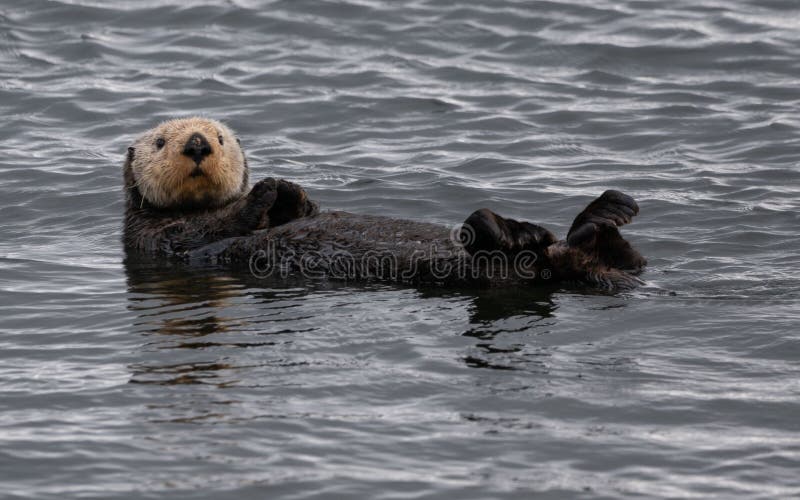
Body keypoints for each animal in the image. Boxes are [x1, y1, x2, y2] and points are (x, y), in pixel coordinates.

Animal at [124, 118, 646, 290]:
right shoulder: (160, 238)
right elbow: (211, 230)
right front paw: (266, 190)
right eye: (161, 142)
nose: (196, 144)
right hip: (490, 270)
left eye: (219, 137)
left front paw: (290, 190)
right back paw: (509, 229)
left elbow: (302, 213)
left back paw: (609, 211)